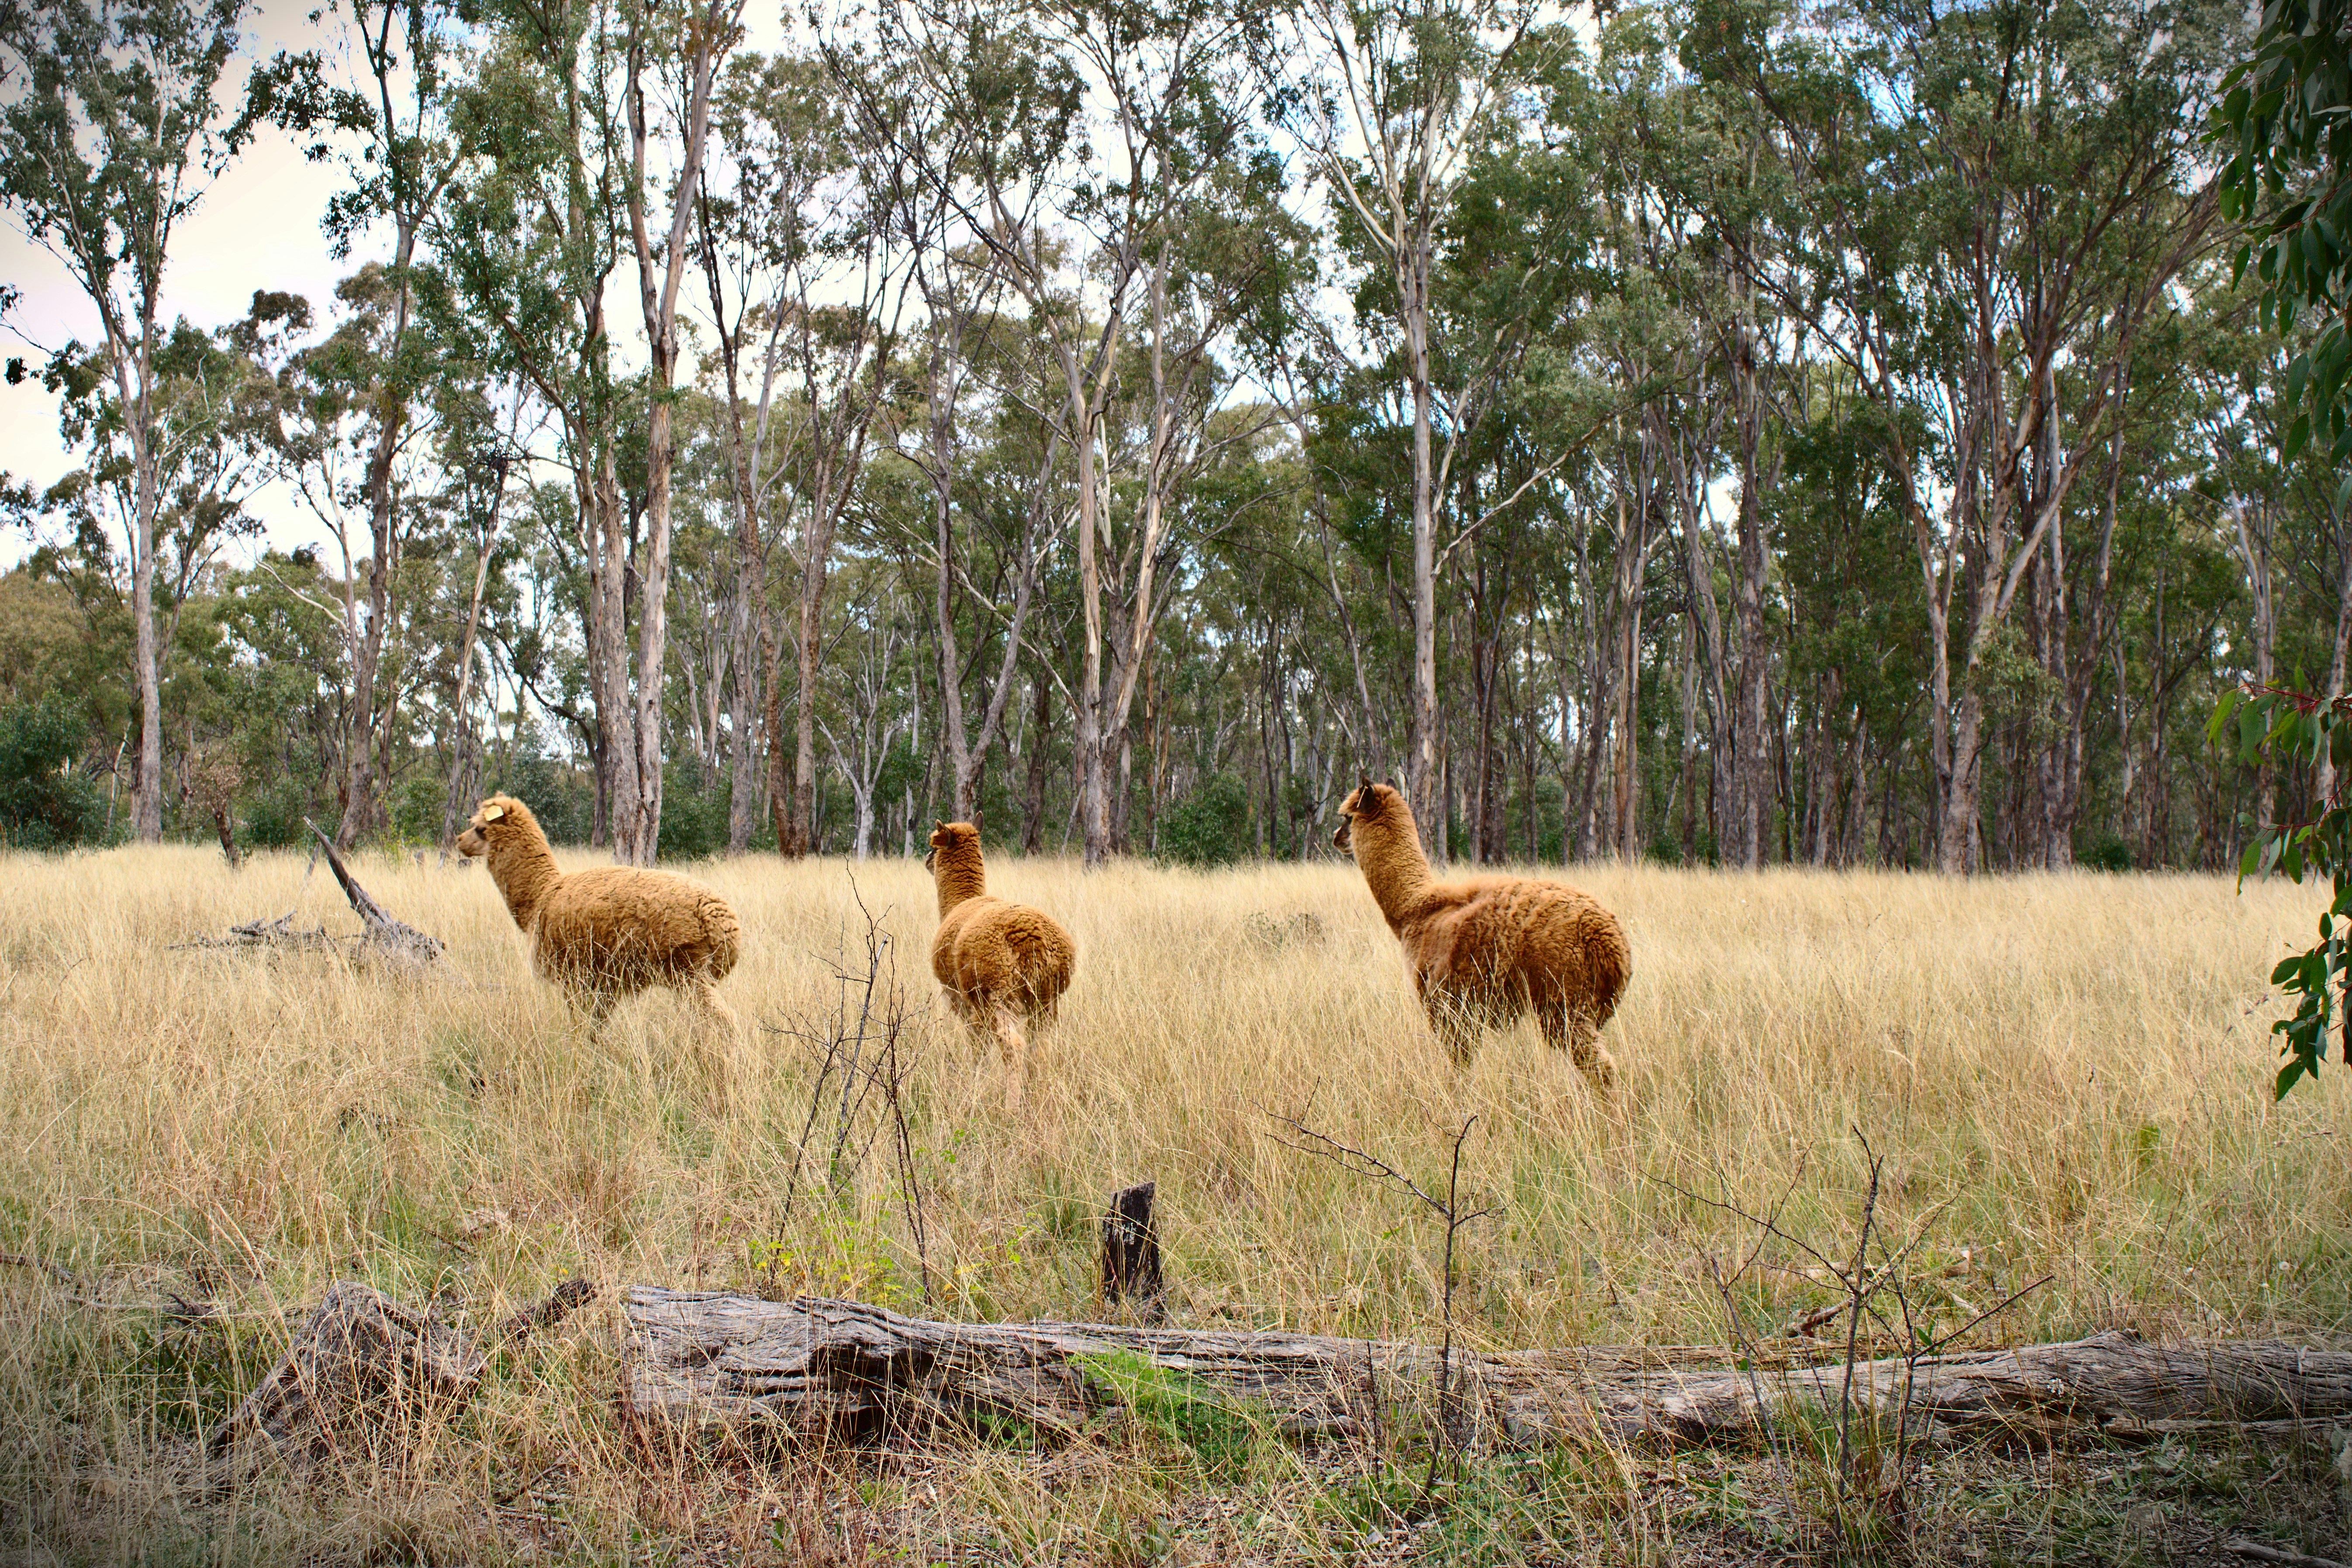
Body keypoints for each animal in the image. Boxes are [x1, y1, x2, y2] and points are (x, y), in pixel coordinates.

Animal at [455, 795, 743, 1055]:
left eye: (480, 828)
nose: (459, 841)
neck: (541, 894)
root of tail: (720, 917)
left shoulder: (573, 976)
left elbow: (579, 1026)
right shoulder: (604, 983)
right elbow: (594, 1028)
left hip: (687, 971)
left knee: (725, 1022)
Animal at [924, 820, 1076, 1110]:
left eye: (933, 845)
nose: (927, 860)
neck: (959, 903)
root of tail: (1031, 938)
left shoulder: (962, 1000)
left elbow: (978, 1047)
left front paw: (974, 1086)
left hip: (998, 992)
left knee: (1013, 1045)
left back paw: (1011, 1107)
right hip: (1046, 998)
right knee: (1040, 1046)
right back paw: (1036, 1092)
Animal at [1332, 777, 1630, 1092]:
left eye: (1347, 817)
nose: (1336, 838)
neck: (1417, 910)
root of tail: (1608, 940)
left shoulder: (1445, 1007)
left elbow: (1458, 1068)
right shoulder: (1466, 1012)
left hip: (1563, 1002)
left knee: (1602, 1070)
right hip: (1593, 1008)